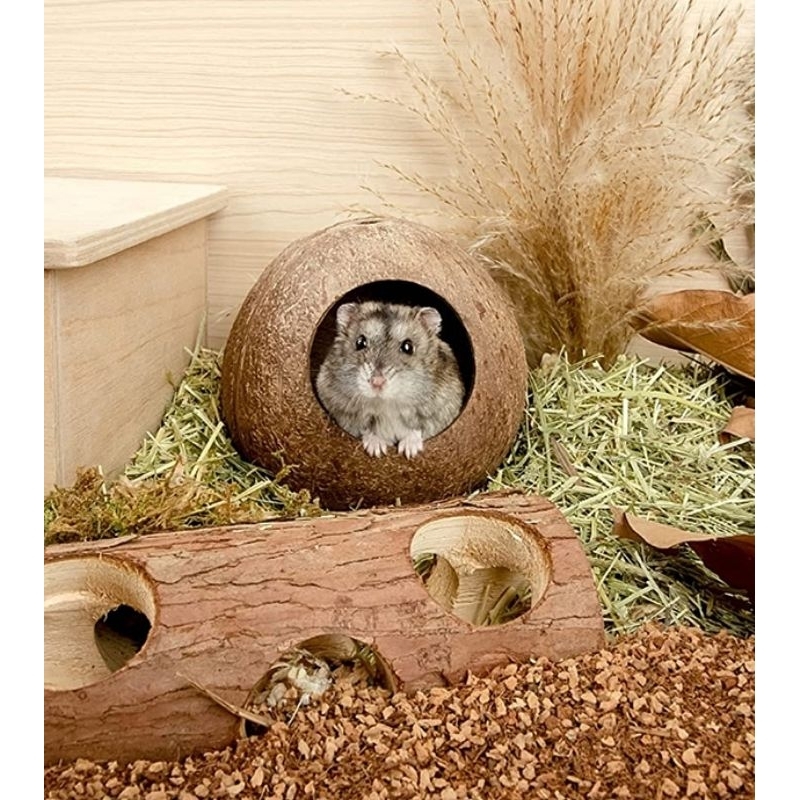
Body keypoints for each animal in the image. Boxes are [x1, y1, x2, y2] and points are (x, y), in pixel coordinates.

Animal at [315, 301, 465, 458]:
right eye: (360, 342)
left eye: (408, 347)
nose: (377, 382)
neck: (387, 403)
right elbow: (366, 429)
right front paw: (376, 451)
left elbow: (418, 429)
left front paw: (409, 452)